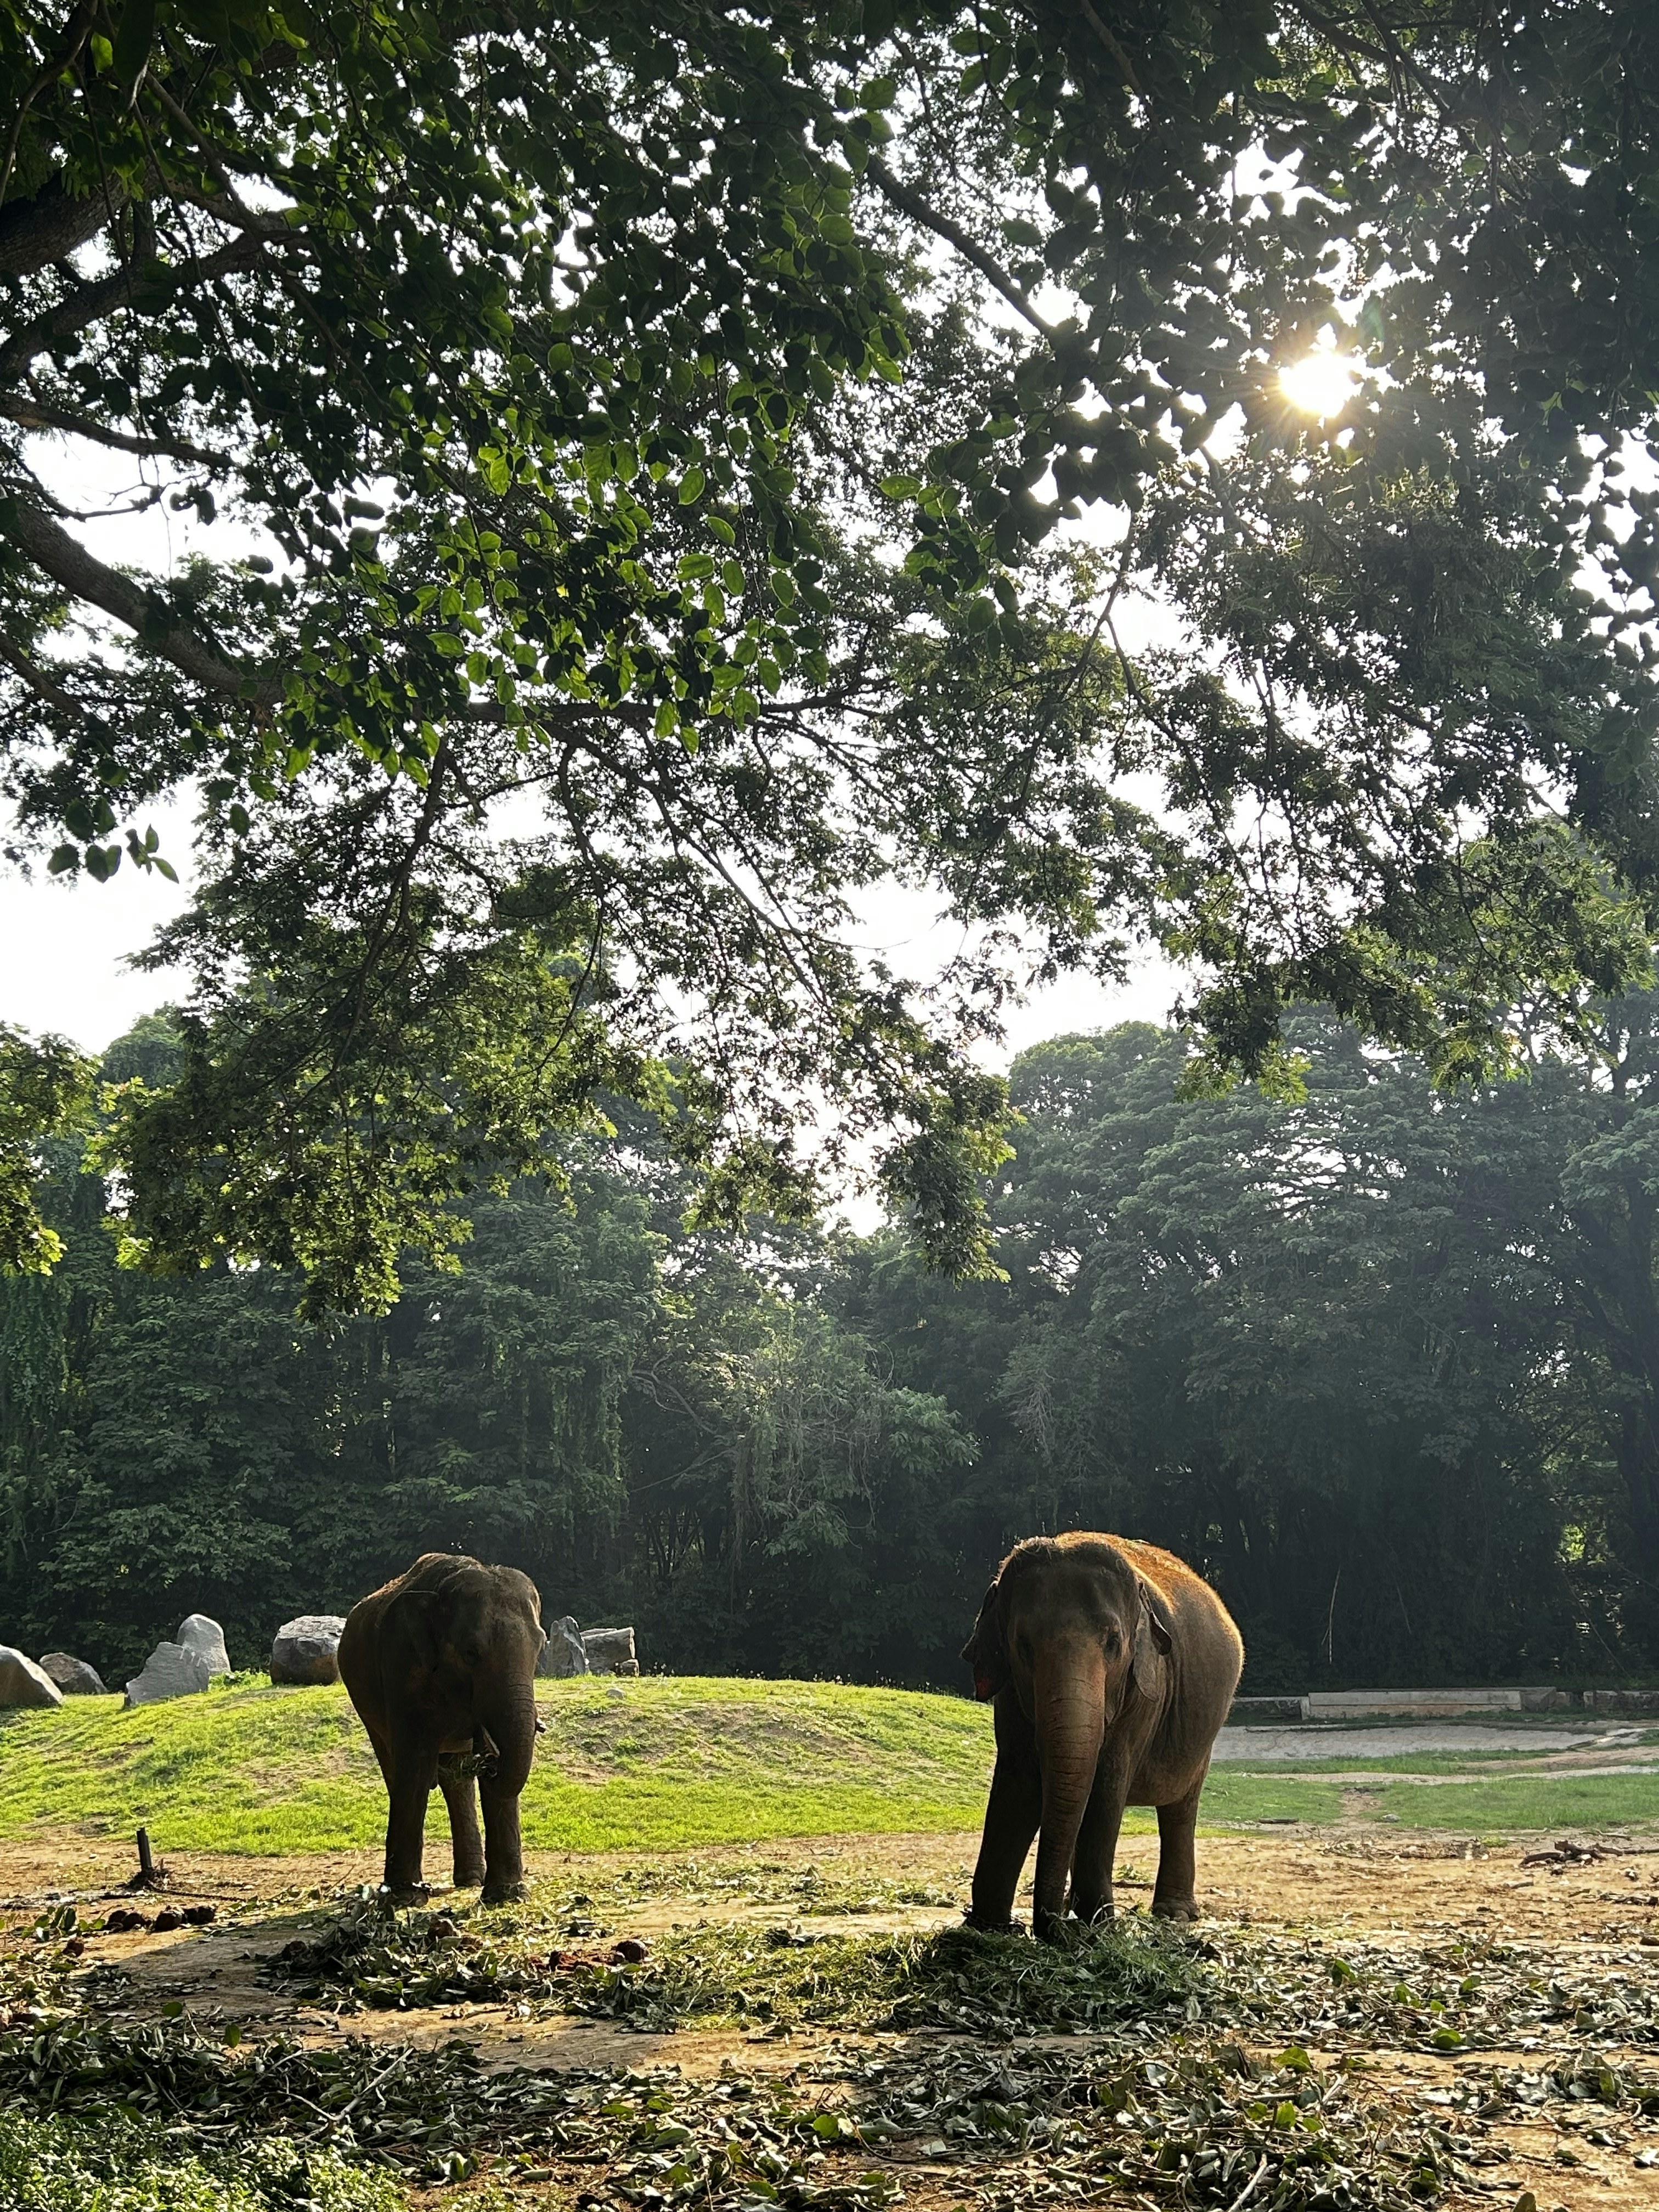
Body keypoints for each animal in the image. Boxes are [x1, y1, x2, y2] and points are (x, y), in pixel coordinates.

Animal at [338, 1551, 548, 1904]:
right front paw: (405, 1898)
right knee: (397, 1771)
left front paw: (508, 1896)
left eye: (542, 1646)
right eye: (471, 1653)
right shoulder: (402, 1667)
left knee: (456, 1781)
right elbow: (415, 1769)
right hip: (364, 1702)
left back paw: (472, 1880)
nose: (487, 1761)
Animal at [962, 1532, 1242, 1940]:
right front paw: (989, 1927)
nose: (1048, 1928)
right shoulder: (1010, 1693)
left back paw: (1174, 1914)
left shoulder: (1144, 1691)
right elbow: (1018, 1780)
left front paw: (1101, 1927)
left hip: (1202, 1736)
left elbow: (1108, 1785)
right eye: (1023, 1645)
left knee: (1180, 1806)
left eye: (1113, 1643)